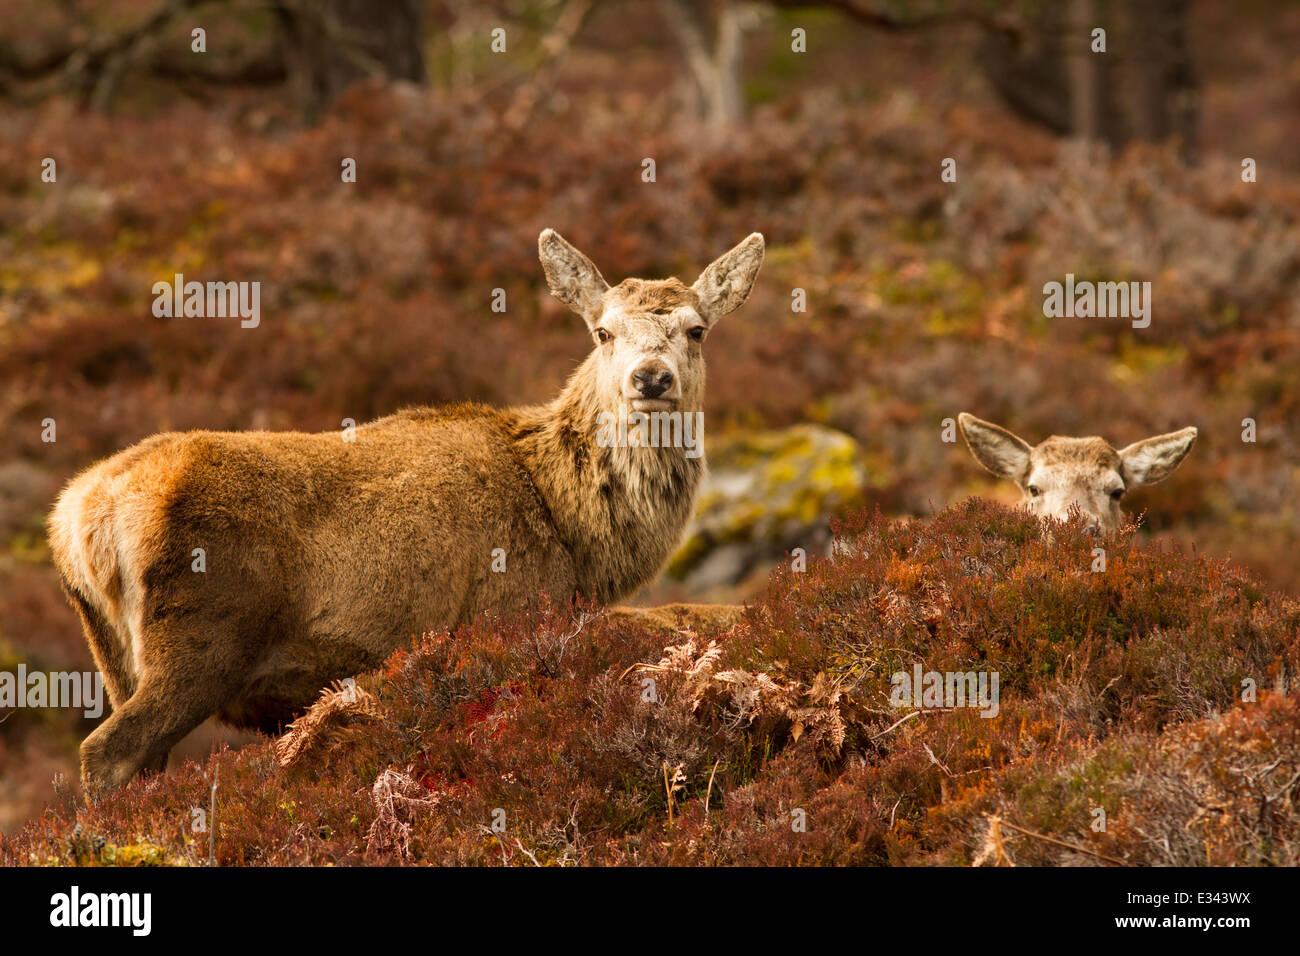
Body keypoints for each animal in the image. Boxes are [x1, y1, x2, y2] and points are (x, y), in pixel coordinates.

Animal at [49, 228, 765, 792]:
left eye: (696, 330)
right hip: (202, 634)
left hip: (111, 649)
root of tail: (82, 516)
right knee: (108, 751)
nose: (652, 378)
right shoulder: (504, 618)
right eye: (603, 330)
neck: (573, 533)